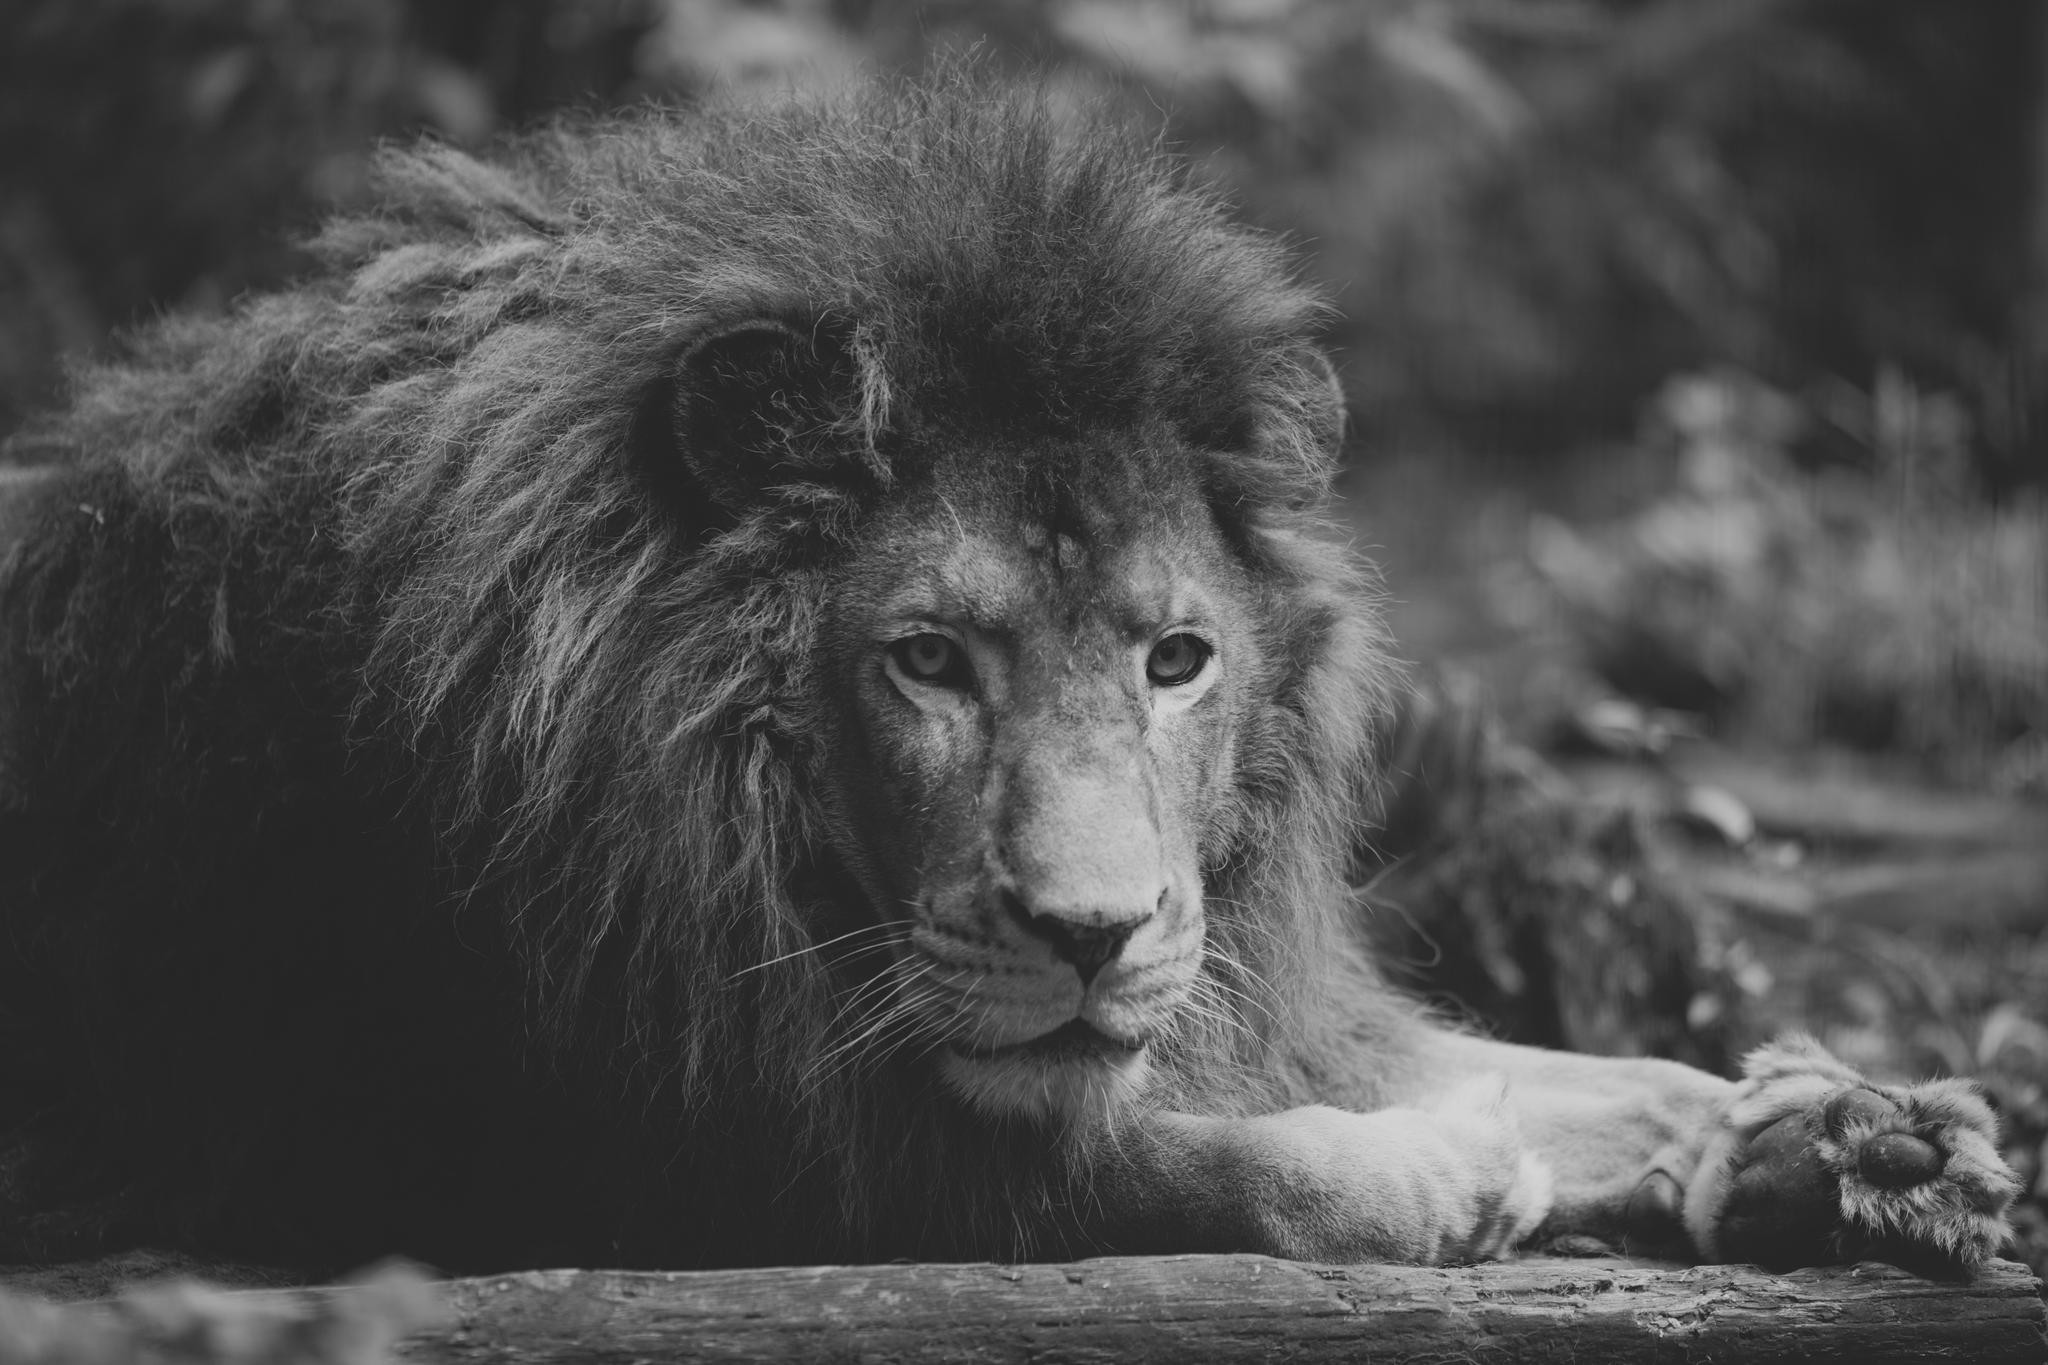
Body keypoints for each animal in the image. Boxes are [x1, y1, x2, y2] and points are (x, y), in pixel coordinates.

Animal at [0, 69, 2019, 1278]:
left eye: (1178, 660)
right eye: (927, 662)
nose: (1093, 933)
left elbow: (1553, 1069)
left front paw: (1836, 1130)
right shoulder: (647, 1143)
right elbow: (1144, 1161)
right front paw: (1431, 1175)